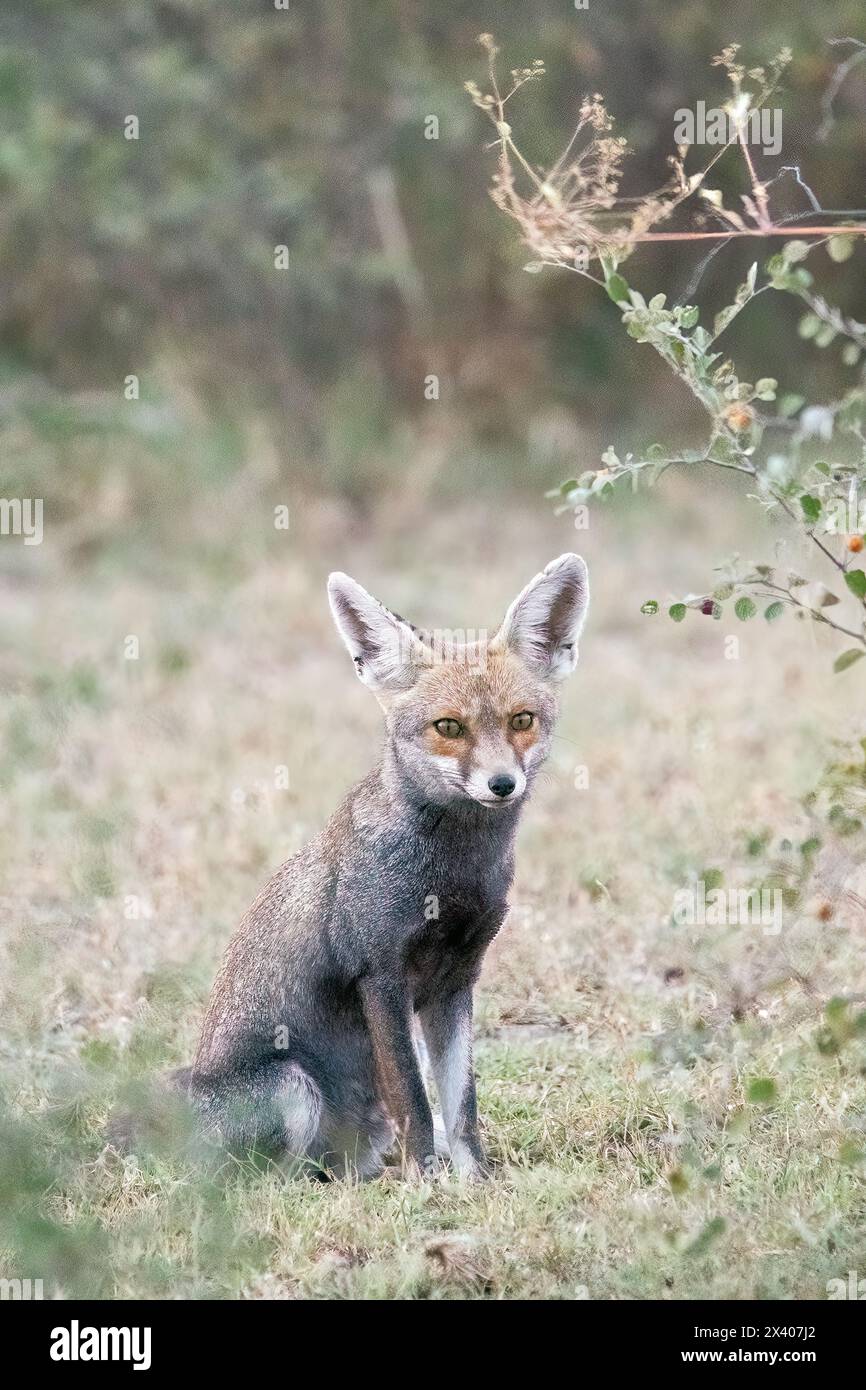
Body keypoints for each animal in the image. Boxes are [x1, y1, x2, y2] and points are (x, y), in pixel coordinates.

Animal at [138, 553, 589, 1179]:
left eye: (521, 720)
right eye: (449, 727)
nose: (503, 784)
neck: (451, 877)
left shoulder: (456, 982)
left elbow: (462, 1108)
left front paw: (475, 1183)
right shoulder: (380, 977)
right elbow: (416, 1102)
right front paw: (427, 1184)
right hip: (292, 1085)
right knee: (272, 1182)